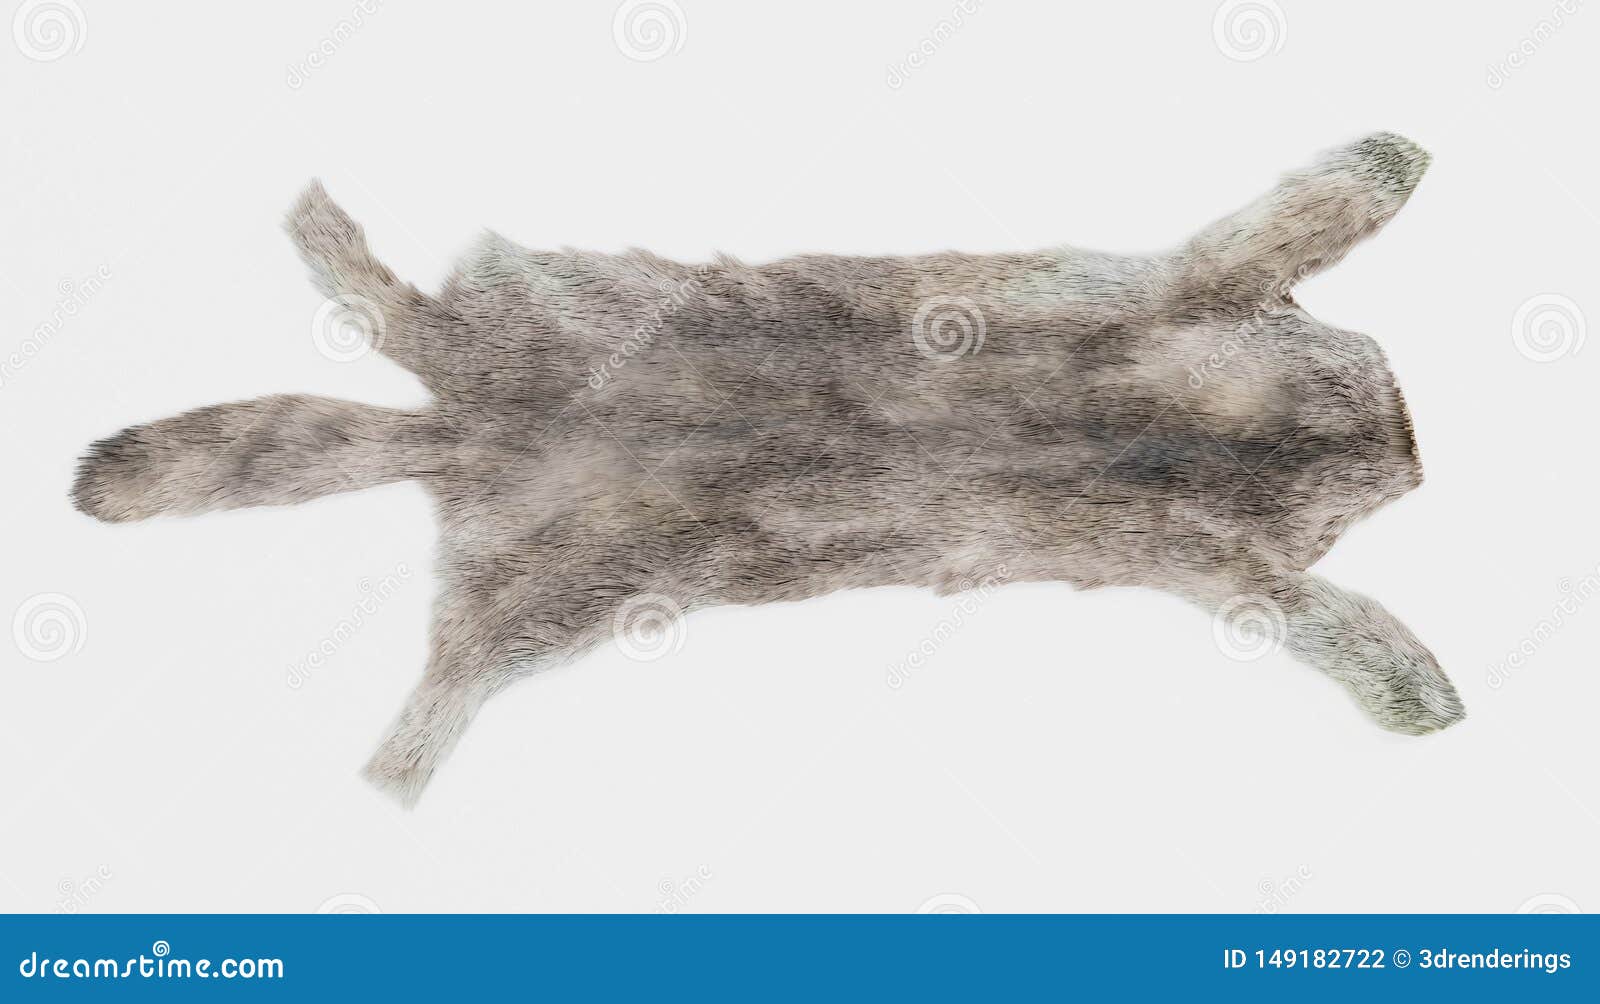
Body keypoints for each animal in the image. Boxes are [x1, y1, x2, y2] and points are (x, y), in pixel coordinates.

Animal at [71, 132, 1464, 805]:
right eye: (1372, 377)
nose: (1414, 442)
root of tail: (463, 438)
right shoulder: (1187, 307)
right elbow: (1289, 220)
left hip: (544, 536)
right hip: (552, 357)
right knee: (395, 313)